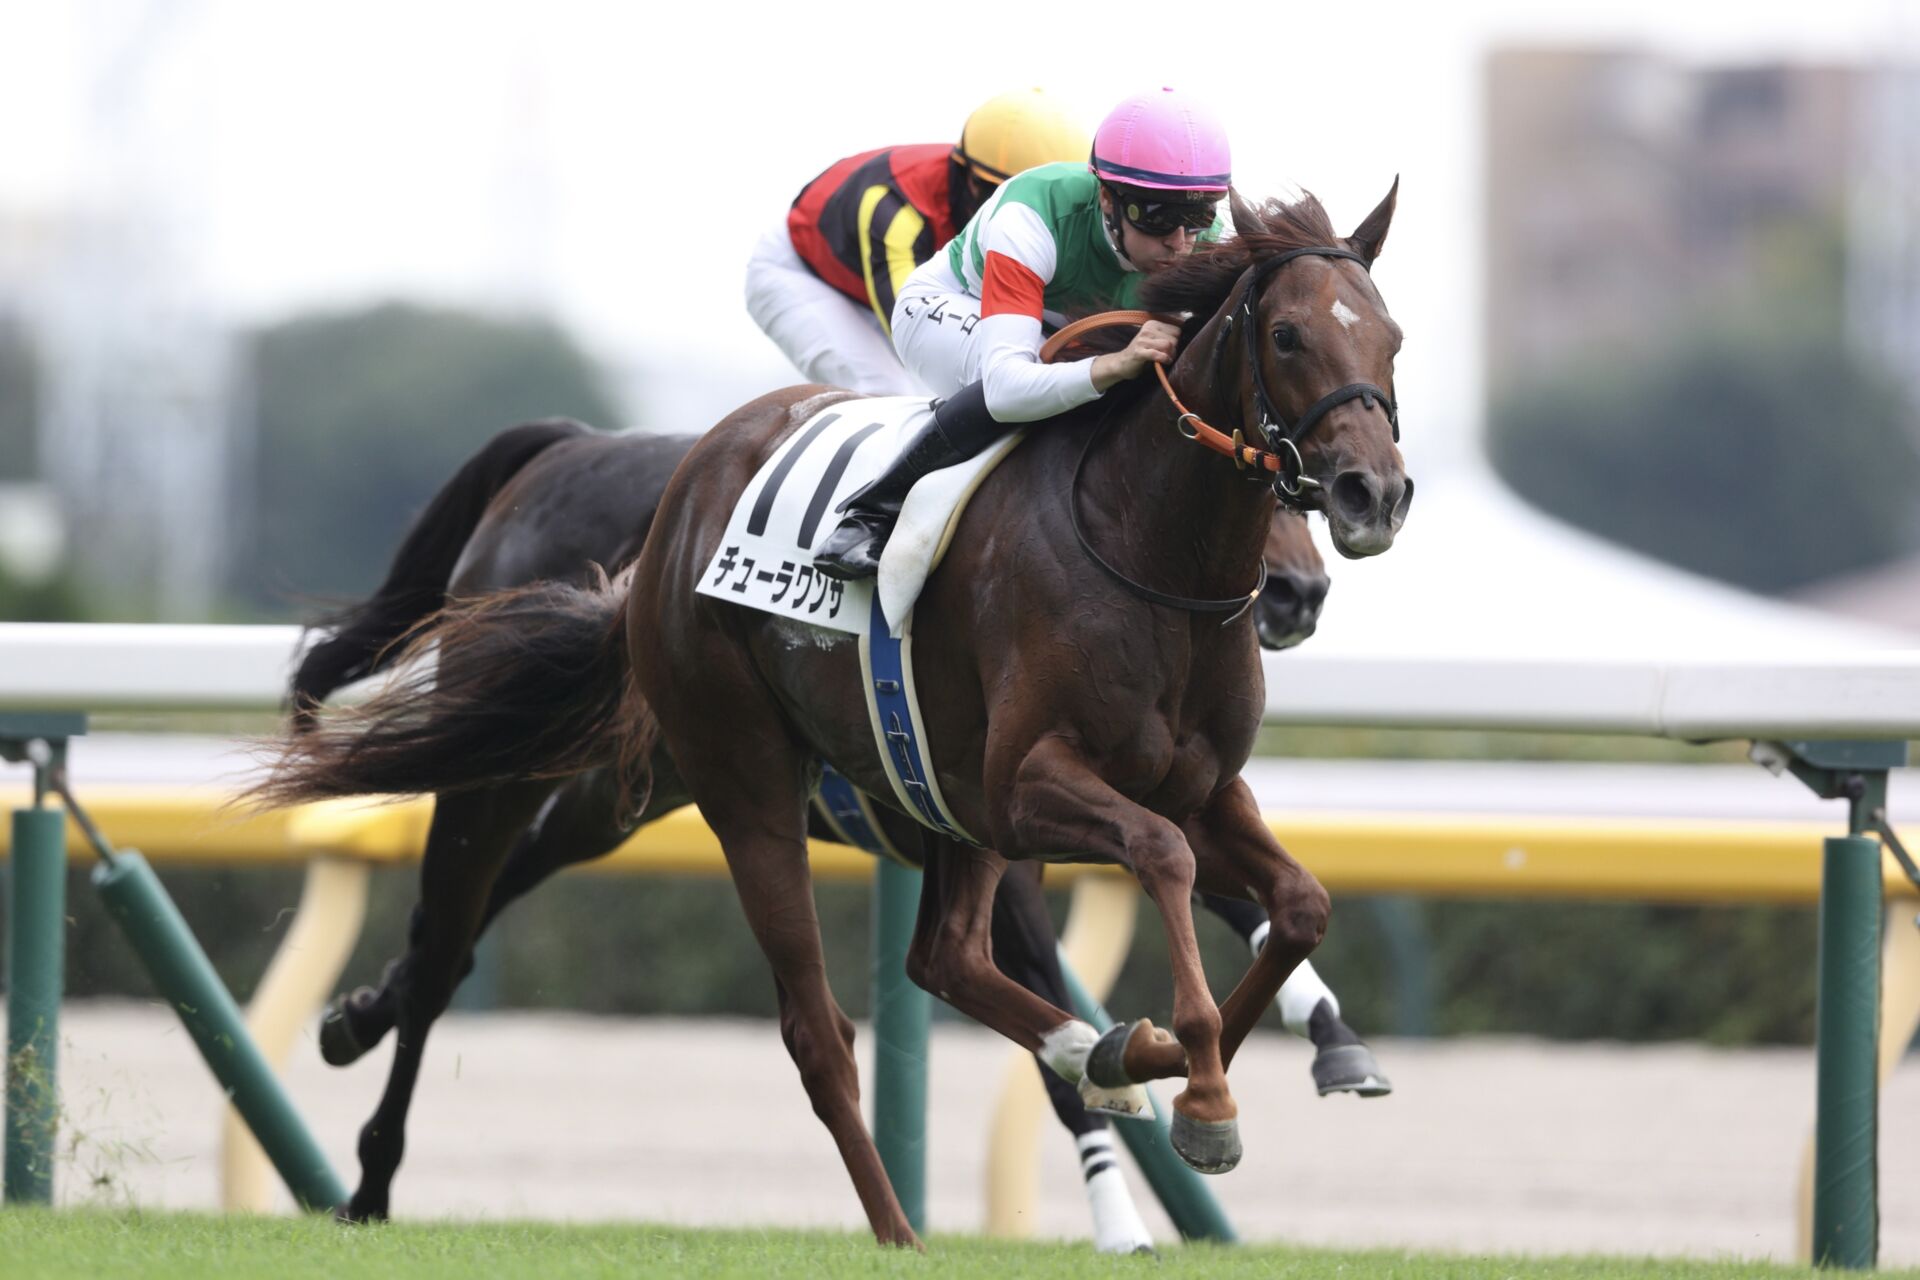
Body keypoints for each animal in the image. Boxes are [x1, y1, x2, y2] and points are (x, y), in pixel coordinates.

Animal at [259, 187, 1409, 1247]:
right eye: (1288, 335)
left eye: (1391, 337)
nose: (1371, 498)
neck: (1143, 551)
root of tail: (652, 489)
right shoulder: (1028, 789)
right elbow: (1164, 864)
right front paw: (1195, 1102)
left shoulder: (1188, 787)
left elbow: (1294, 902)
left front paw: (1237, 1050)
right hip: (704, 783)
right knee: (765, 1017)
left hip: (655, 791)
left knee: (934, 960)